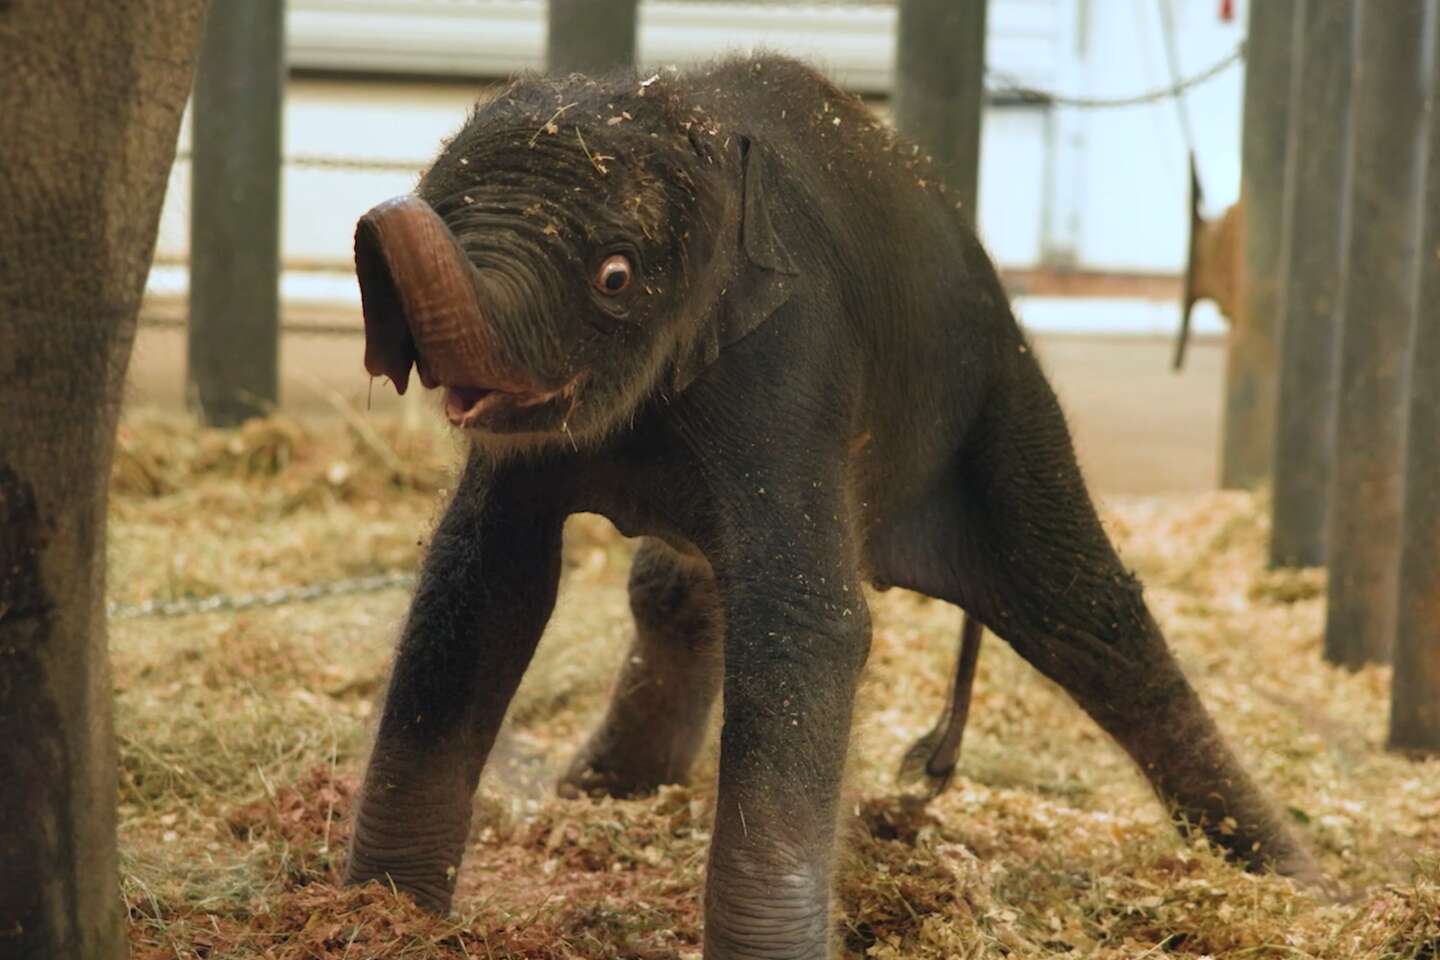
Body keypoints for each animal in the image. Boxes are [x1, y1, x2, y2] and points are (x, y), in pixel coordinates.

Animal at [345, 53, 1319, 959]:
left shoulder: (791, 355)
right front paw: (382, 915)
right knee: (676, 588)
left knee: (1087, 615)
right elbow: (482, 587)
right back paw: (599, 790)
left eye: (614, 277)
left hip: (996, 389)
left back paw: (1297, 879)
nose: (381, 223)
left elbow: (805, 619)